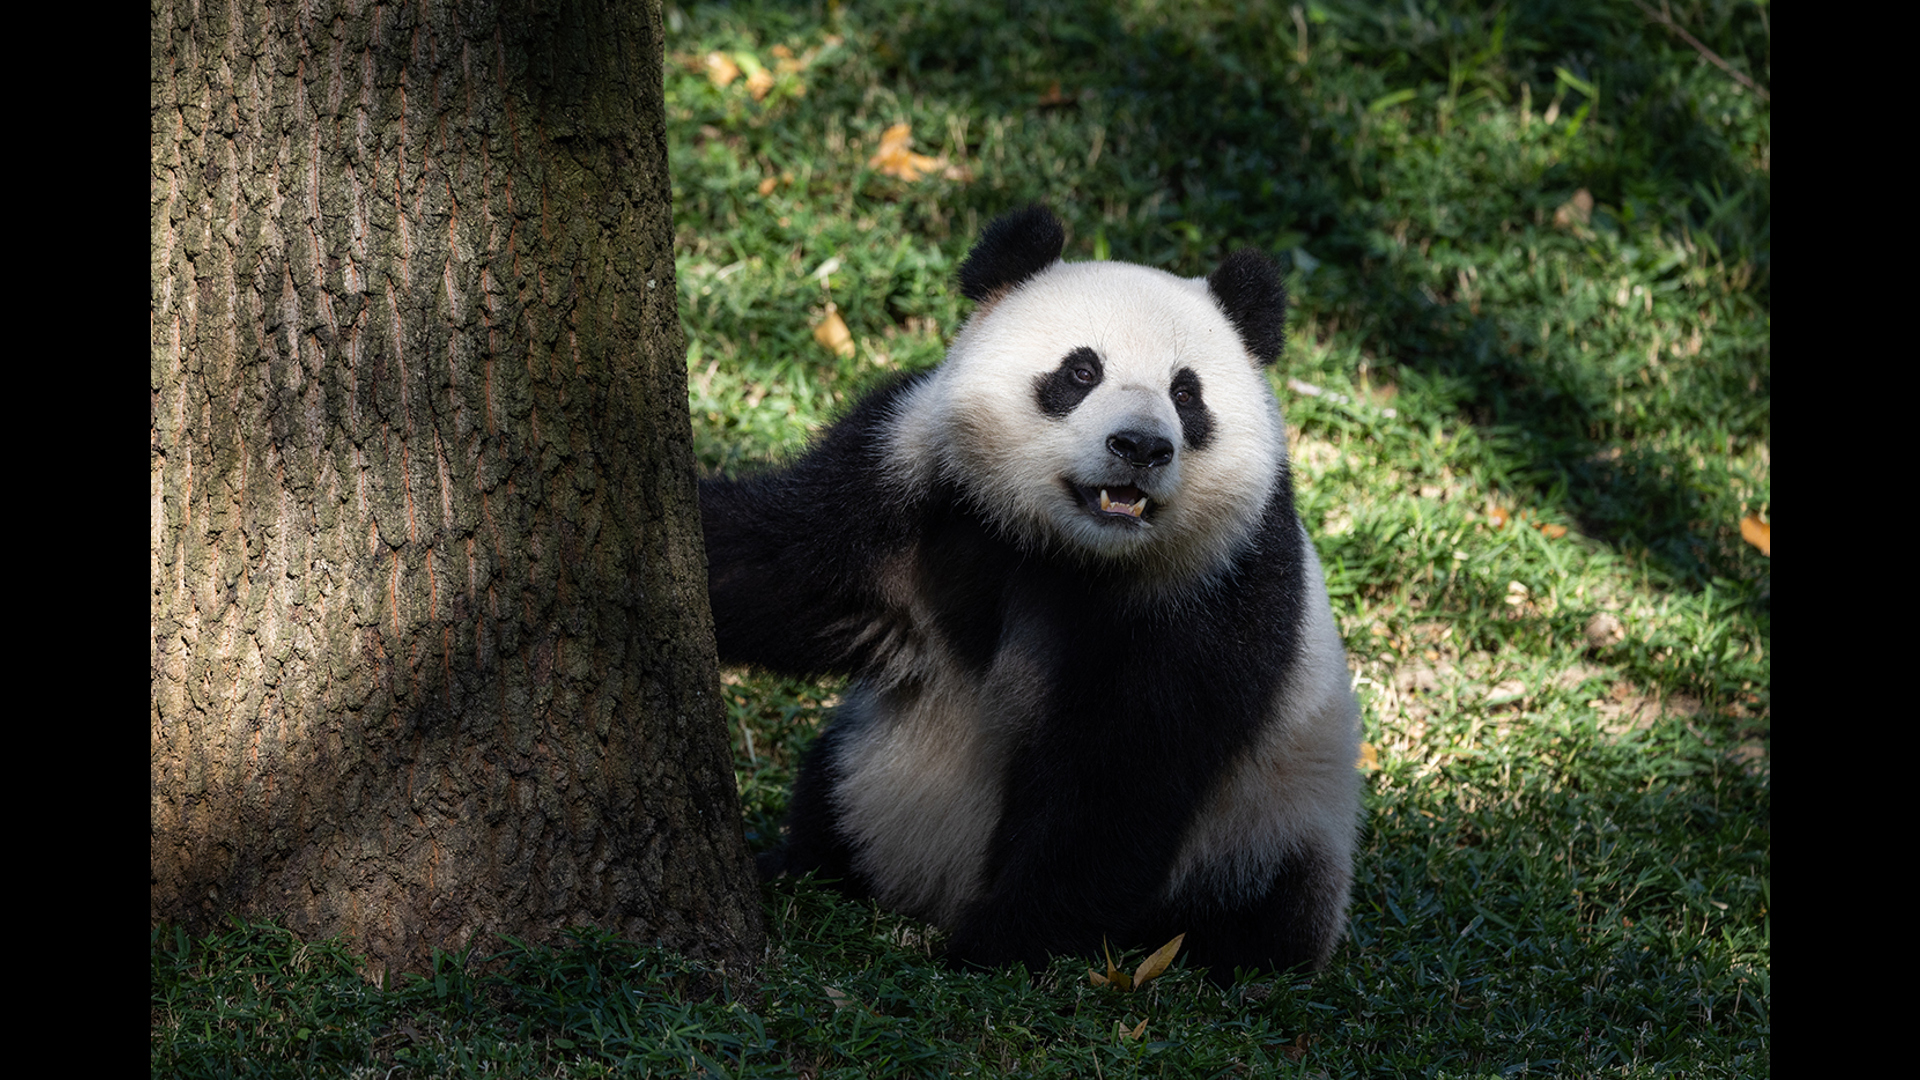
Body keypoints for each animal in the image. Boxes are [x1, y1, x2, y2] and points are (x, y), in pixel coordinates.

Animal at [700, 205, 1362, 978]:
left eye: (1186, 393)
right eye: (1081, 370)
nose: (1141, 447)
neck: (1065, 551)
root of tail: (919, 890)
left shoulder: (1218, 589)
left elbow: (1120, 782)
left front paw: (998, 947)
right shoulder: (912, 475)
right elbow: (778, 569)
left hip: (1273, 823)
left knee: (1261, 911)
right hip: (865, 772)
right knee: (826, 792)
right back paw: (800, 867)